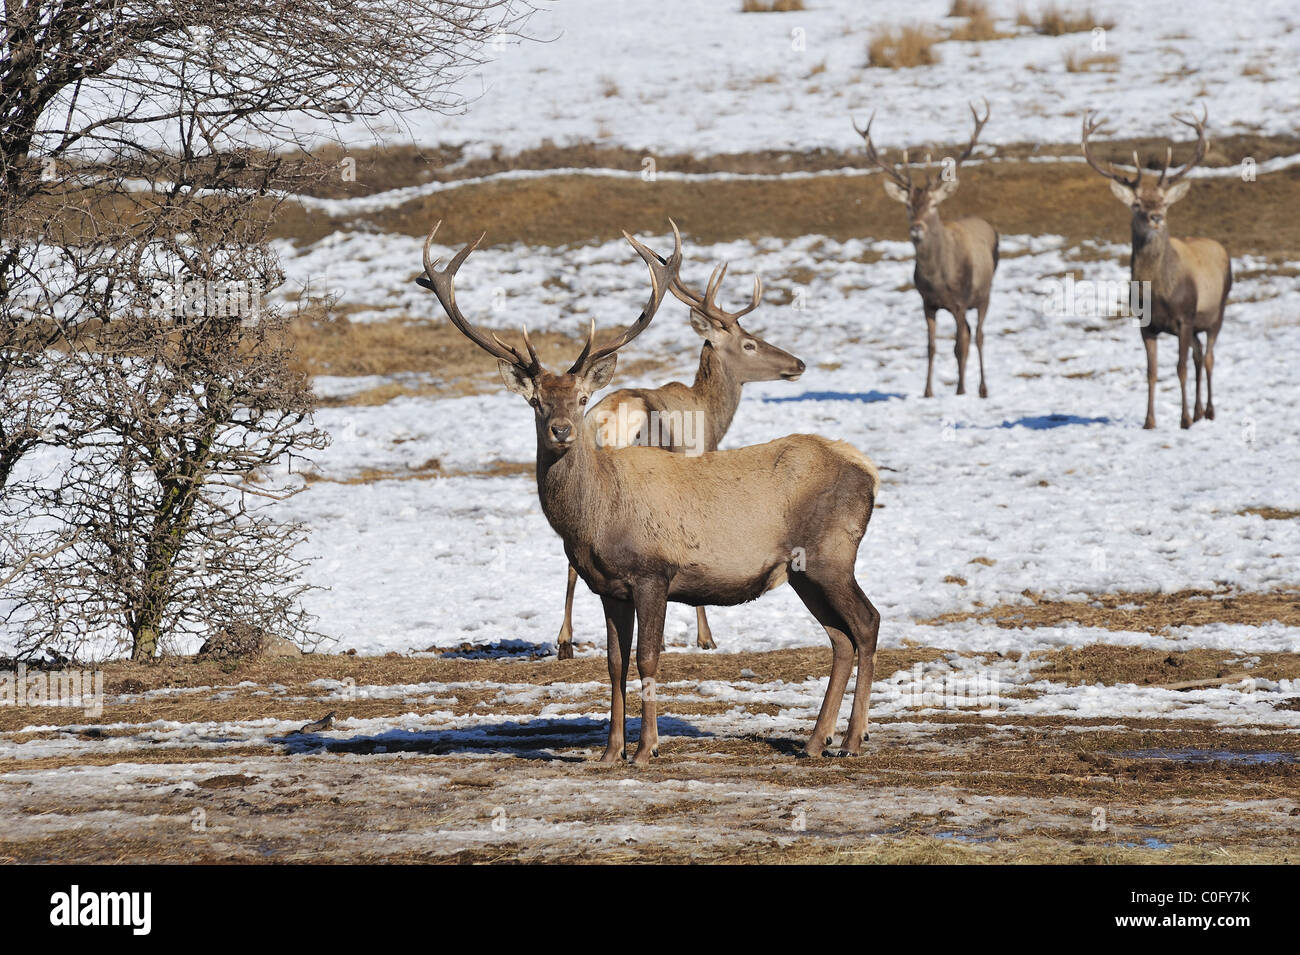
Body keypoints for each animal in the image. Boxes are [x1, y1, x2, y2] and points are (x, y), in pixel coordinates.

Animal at [553, 255, 806, 660]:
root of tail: (606, 423)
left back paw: (564, 641)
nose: (798, 363)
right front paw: (705, 637)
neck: (711, 414)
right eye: (749, 344)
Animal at [856, 101, 999, 398]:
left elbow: (959, 344)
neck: (938, 279)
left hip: (984, 295)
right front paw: (928, 392)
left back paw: (981, 389)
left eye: (933, 204)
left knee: (978, 336)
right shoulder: (927, 303)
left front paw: (960, 391)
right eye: (908, 206)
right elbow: (931, 347)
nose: (917, 228)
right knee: (969, 334)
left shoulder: (959, 301)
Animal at [1081, 106, 1232, 429]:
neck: (1159, 293)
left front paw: (1183, 420)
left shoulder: (1185, 317)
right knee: (1199, 355)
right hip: (1197, 325)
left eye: (1164, 203)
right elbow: (1152, 372)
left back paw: (1208, 411)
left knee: (1208, 357)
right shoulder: (1146, 324)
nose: (1156, 217)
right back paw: (1199, 411)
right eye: (1137, 204)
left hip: (1217, 312)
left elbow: (1180, 368)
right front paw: (1149, 421)